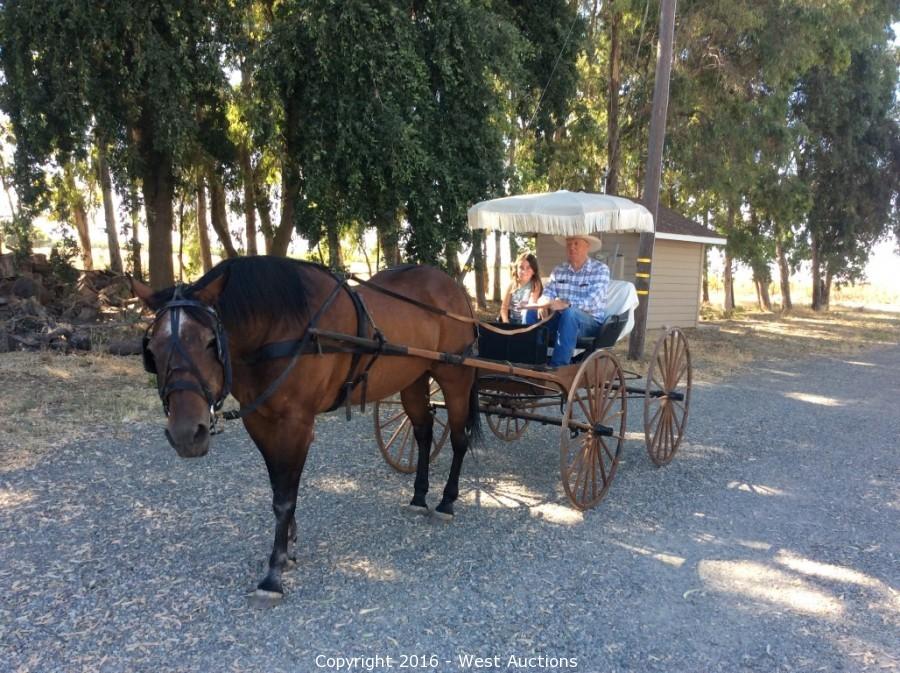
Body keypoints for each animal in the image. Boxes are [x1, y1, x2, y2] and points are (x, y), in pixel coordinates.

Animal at [131, 256, 482, 606]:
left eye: (209, 342)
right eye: (153, 350)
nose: (186, 435)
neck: (279, 327)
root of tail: (454, 289)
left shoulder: (297, 423)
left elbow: (285, 497)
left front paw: (273, 573)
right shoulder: (259, 421)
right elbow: (278, 487)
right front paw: (287, 548)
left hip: (455, 377)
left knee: (459, 438)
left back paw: (447, 501)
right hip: (414, 378)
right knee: (423, 433)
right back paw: (419, 496)